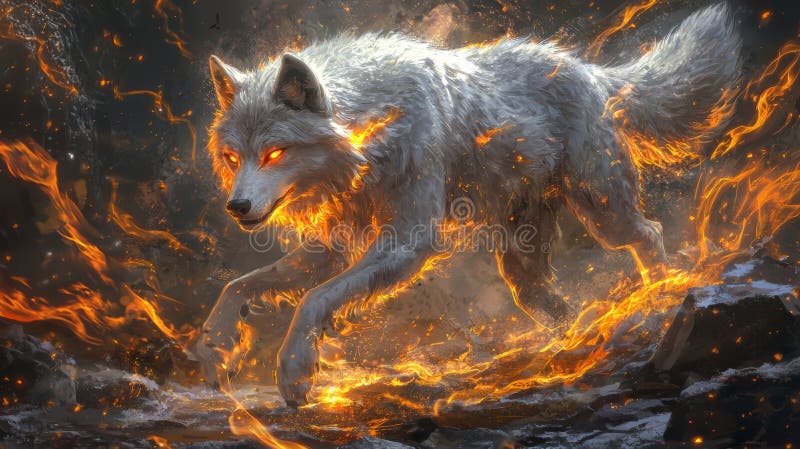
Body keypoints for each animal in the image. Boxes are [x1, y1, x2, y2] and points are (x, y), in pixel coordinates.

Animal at [196, 4, 740, 405]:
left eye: (274, 153)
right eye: (233, 157)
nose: (237, 206)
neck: (372, 133)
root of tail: (591, 70)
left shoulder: (408, 242)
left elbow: (314, 300)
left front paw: (293, 373)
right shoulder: (331, 249)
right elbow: (240, 285)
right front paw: (213, 349)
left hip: (605, 214)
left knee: (650, 233)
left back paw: (659, 295)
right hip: (520, 264)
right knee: (552, 303)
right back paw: (565, 345)